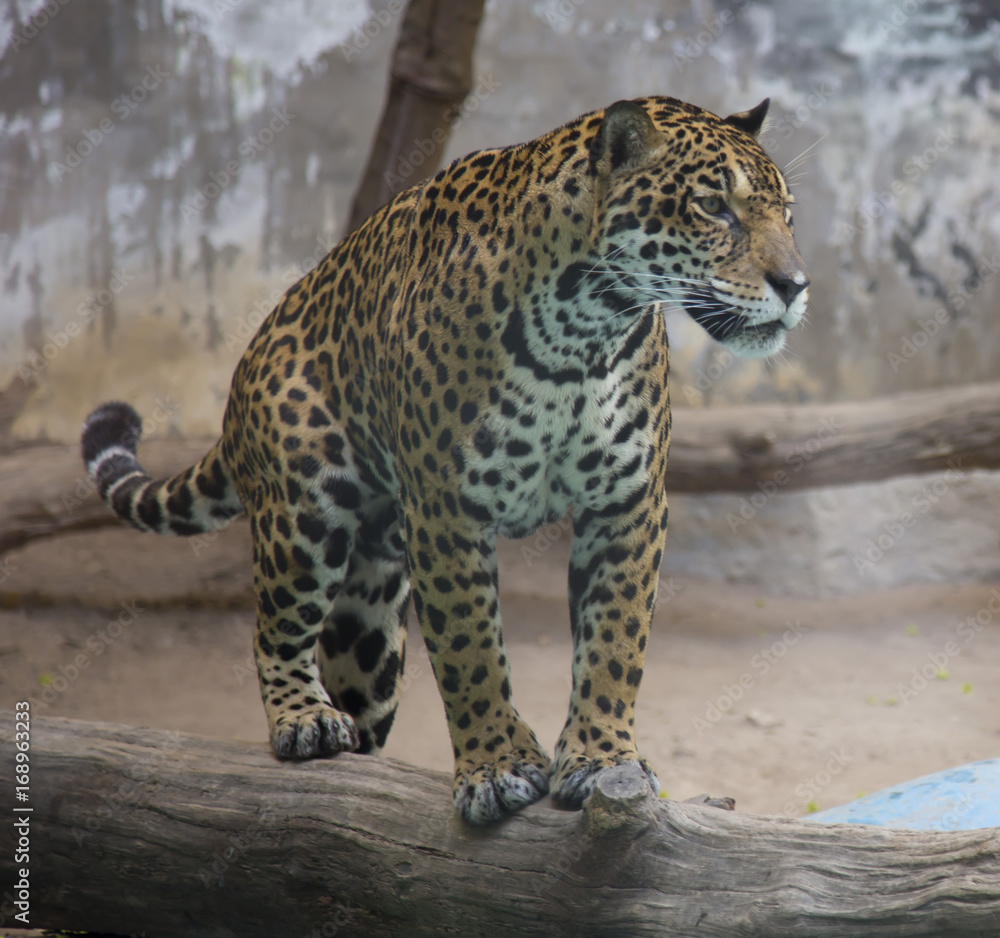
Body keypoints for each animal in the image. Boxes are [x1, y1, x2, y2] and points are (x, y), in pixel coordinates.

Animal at [81, 95, 808, 824]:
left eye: (787, 214)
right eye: (714, 206)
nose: (797, 284)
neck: (582, 332)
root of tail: (245, 369)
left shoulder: (627, 501)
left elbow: (615, 642)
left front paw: (603, 759)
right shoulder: (447, 508)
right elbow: (470, 645)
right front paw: (496, 766)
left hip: (370, 624)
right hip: (304, 514)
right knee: (274, 630)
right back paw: (304, 718)